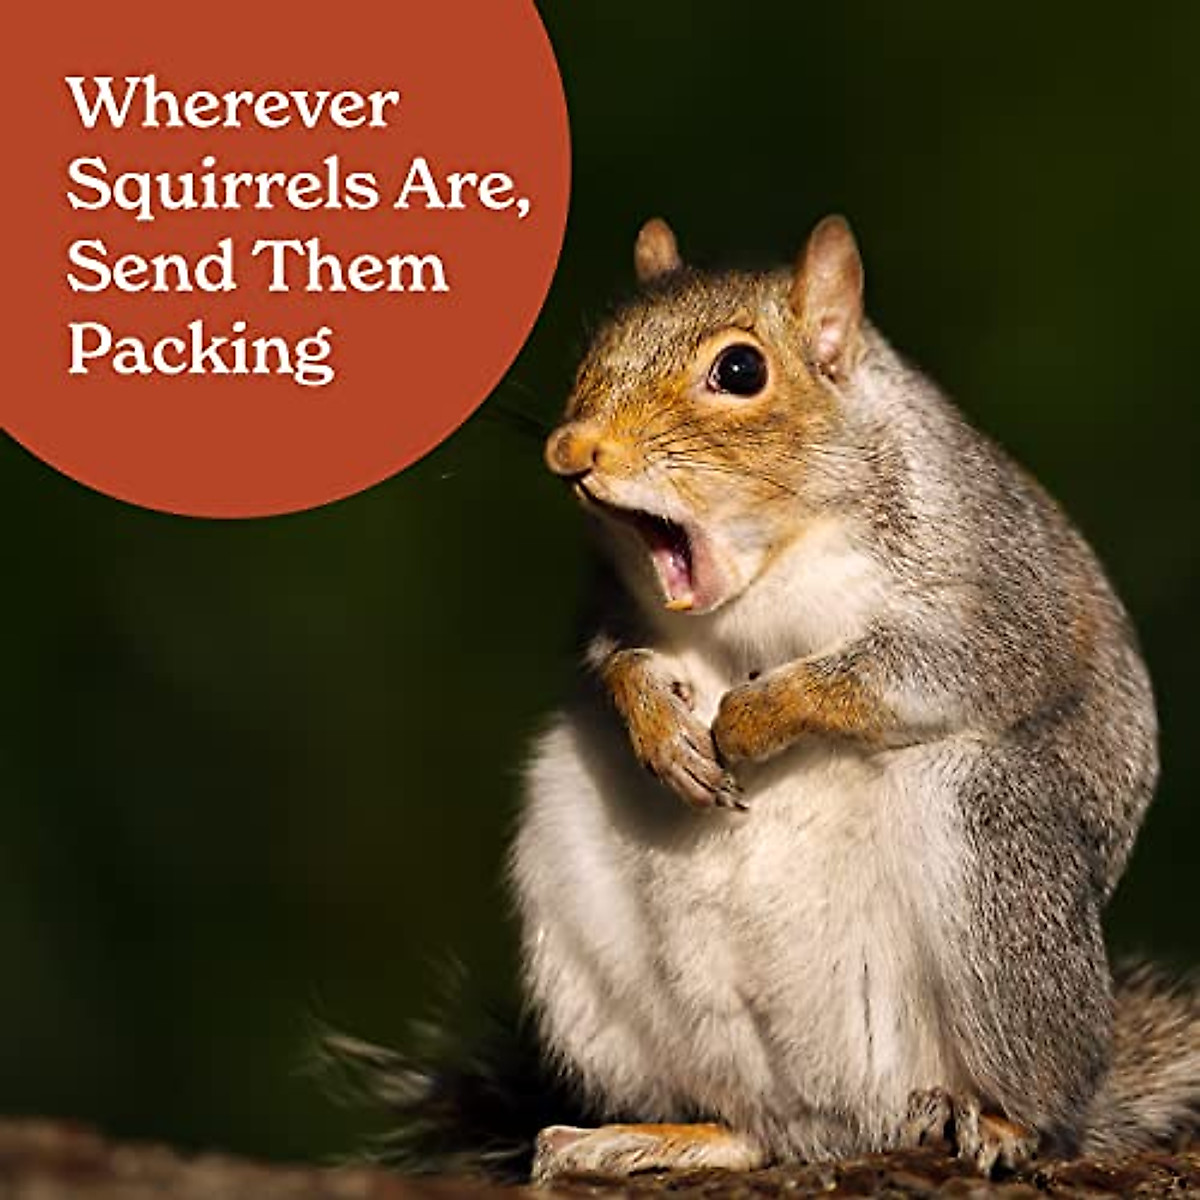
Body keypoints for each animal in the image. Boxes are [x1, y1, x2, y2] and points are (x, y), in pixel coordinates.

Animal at [323, 215, 1197, 1184]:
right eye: (596, 345)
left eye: (740, 371)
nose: (571, 451)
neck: (769, 567)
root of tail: (850, 1117)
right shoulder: (609, 604)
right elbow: (611, 660)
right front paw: (659, 724)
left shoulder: (997, 595)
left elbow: (922, 669)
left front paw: (752, 718)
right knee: (755, 1127)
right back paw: (652, 1136)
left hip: (993, 852)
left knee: (1044, 1099)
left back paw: (1002, 1121)